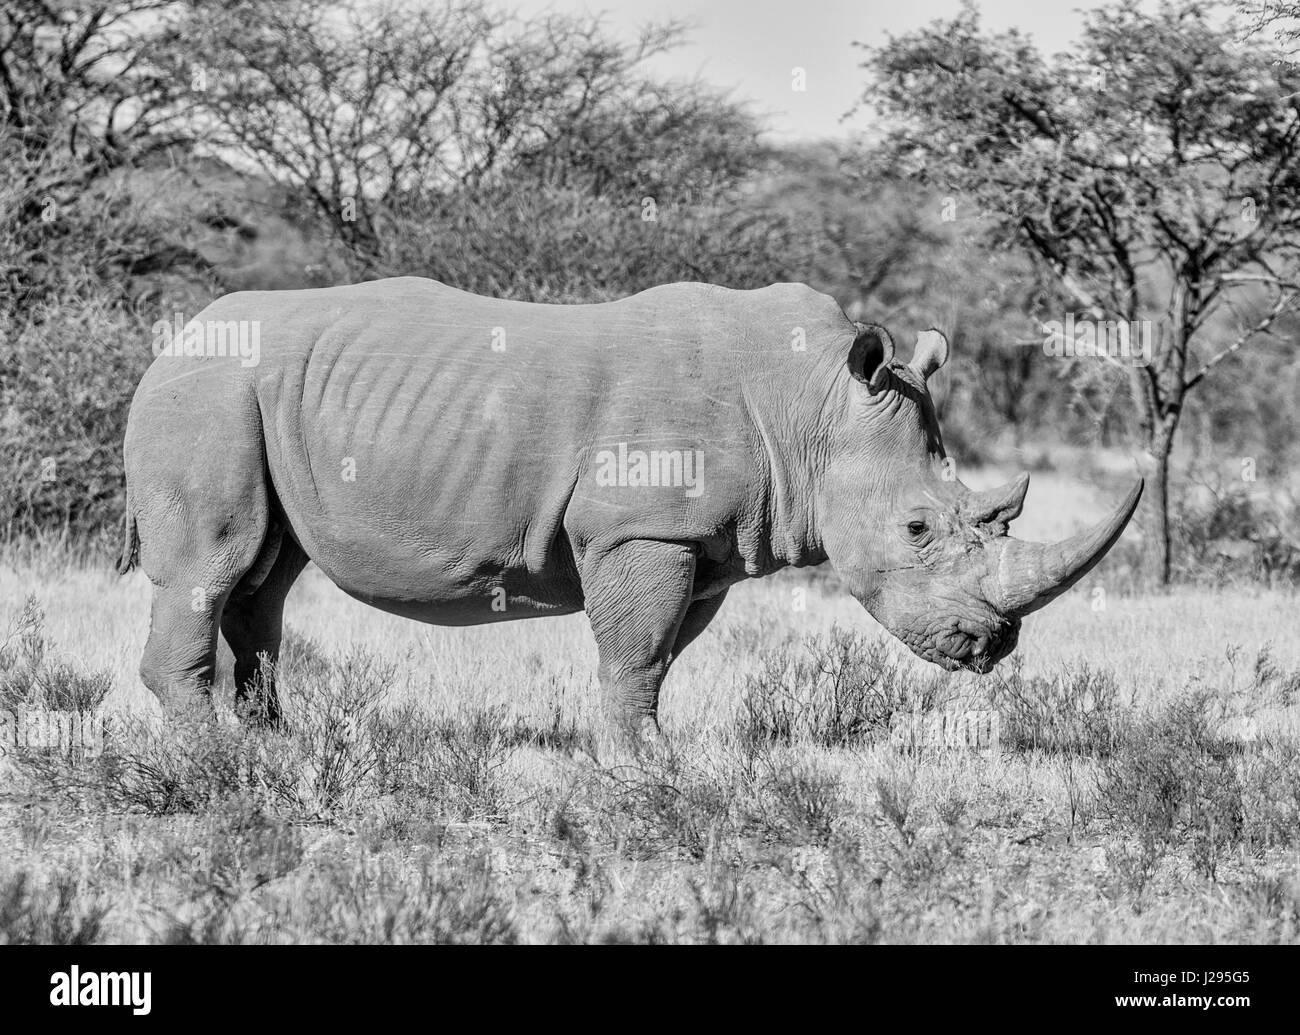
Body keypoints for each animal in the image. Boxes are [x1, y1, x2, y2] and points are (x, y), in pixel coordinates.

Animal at [119, 277, 1142, 736]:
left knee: (268, 578)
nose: (990, 645)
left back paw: (271, 744)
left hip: (252, 399)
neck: (811, 404)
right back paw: (214, 761)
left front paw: (643, 754)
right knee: (214, 565)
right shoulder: (640, 527)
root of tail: (166, 344)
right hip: (206, 397)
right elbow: (637, 650)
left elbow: (654, 657)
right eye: (919, 529)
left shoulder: (706, 543)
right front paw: (648, 772)